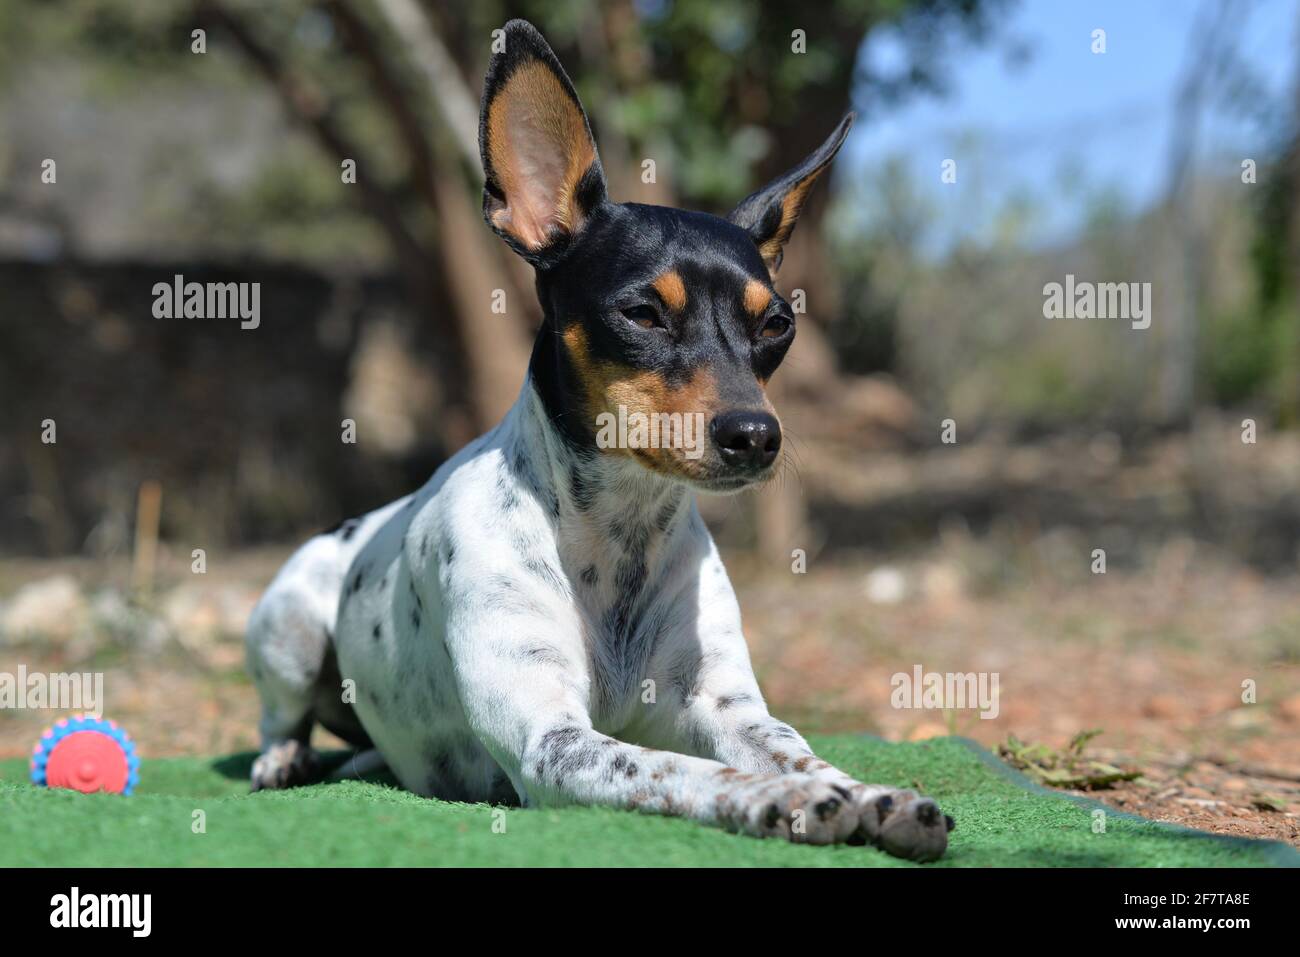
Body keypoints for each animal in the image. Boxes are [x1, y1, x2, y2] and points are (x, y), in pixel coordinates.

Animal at [245, 20, 956, 858]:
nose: (756, 435)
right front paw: (778, 797)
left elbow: (797, 748)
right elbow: (686, 771)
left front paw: (872, 794)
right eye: (643, 313)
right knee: (279, 718)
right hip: (288, 627)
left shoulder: (725, 708)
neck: (619, 540)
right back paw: (281, 759)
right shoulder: (552, 741)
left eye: (778, 323)